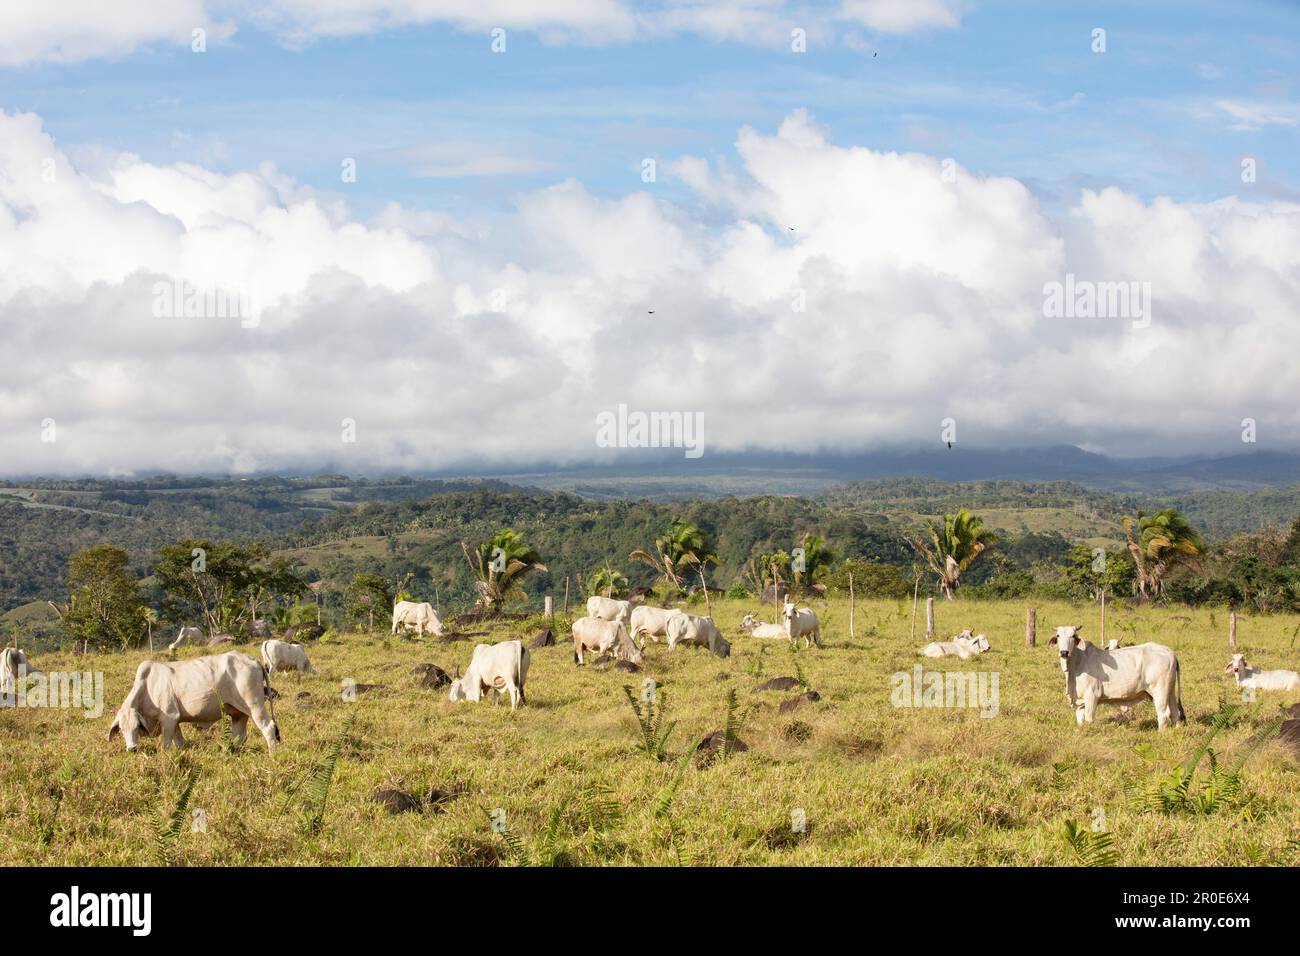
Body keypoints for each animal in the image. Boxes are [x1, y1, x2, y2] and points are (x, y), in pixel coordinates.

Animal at [107, 652, 280, 752]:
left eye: (136, 727)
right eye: (121, 729)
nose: (132, 749)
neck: (147, 687)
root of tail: (254, 660)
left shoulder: (169, 718)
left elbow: (166, 746)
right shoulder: (175, 722)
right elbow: (179, 744)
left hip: (255, 705)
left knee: (268, 728)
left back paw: (272, 755)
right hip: (239, 713)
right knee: (239, 736)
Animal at [1049, 625, 1184, 730]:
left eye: (1073, 635)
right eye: (1058, 635)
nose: (1064, 652)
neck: (1077, 663)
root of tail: (1170, 652)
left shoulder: (1092, 696)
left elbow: (1089, 719)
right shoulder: (1079, 702)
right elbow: (1081, 721)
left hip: (1159, 691)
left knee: (1163, 714)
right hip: (1170, 691)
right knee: (1175, 713)